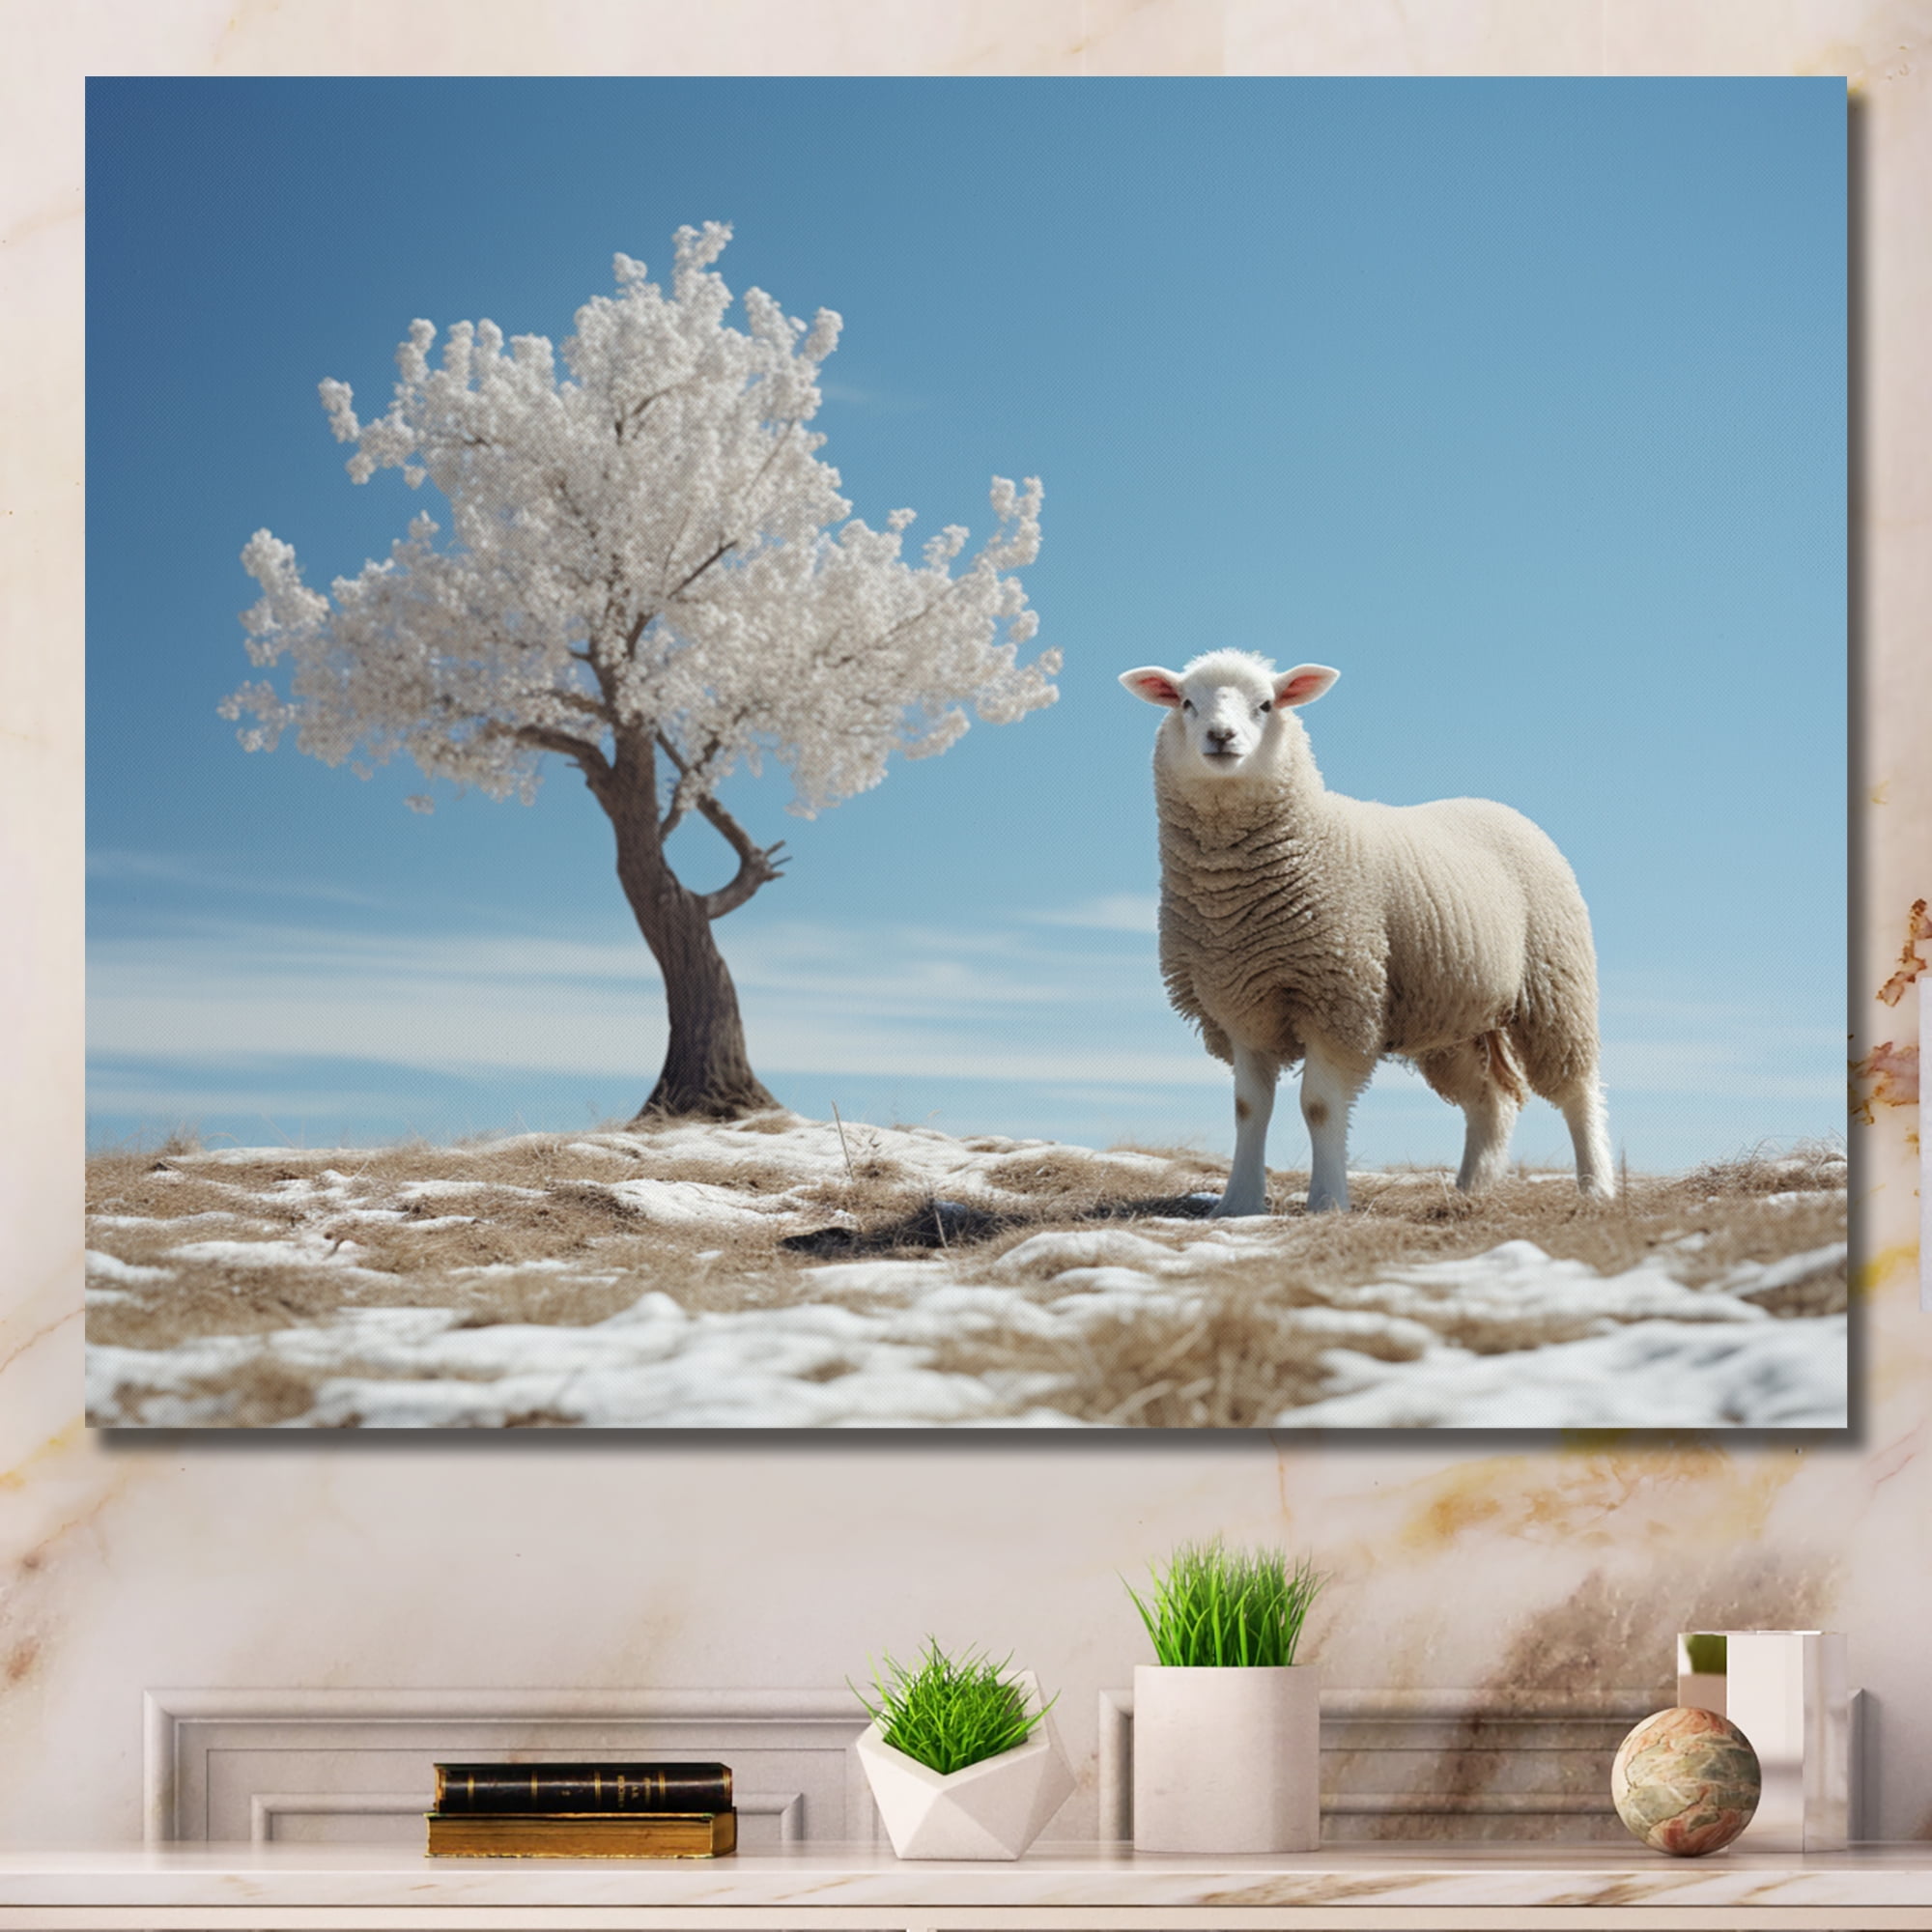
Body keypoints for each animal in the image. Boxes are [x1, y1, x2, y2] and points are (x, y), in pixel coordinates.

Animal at [1119, 650, 1613, 1216]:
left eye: (1266, 704)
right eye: (1185, 703)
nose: (1221, 736)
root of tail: (1494, 805)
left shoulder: (1338, 996)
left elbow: (1318, 1106)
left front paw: (1328, 1201)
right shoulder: (1240, 1003)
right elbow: (1248, 1108)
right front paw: (1238, 1205)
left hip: (1554, 986)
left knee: (1578, 1090)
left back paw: (1596, 1186)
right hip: (1449, 1014)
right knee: (1490, 1100)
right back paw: (1471, 1188)